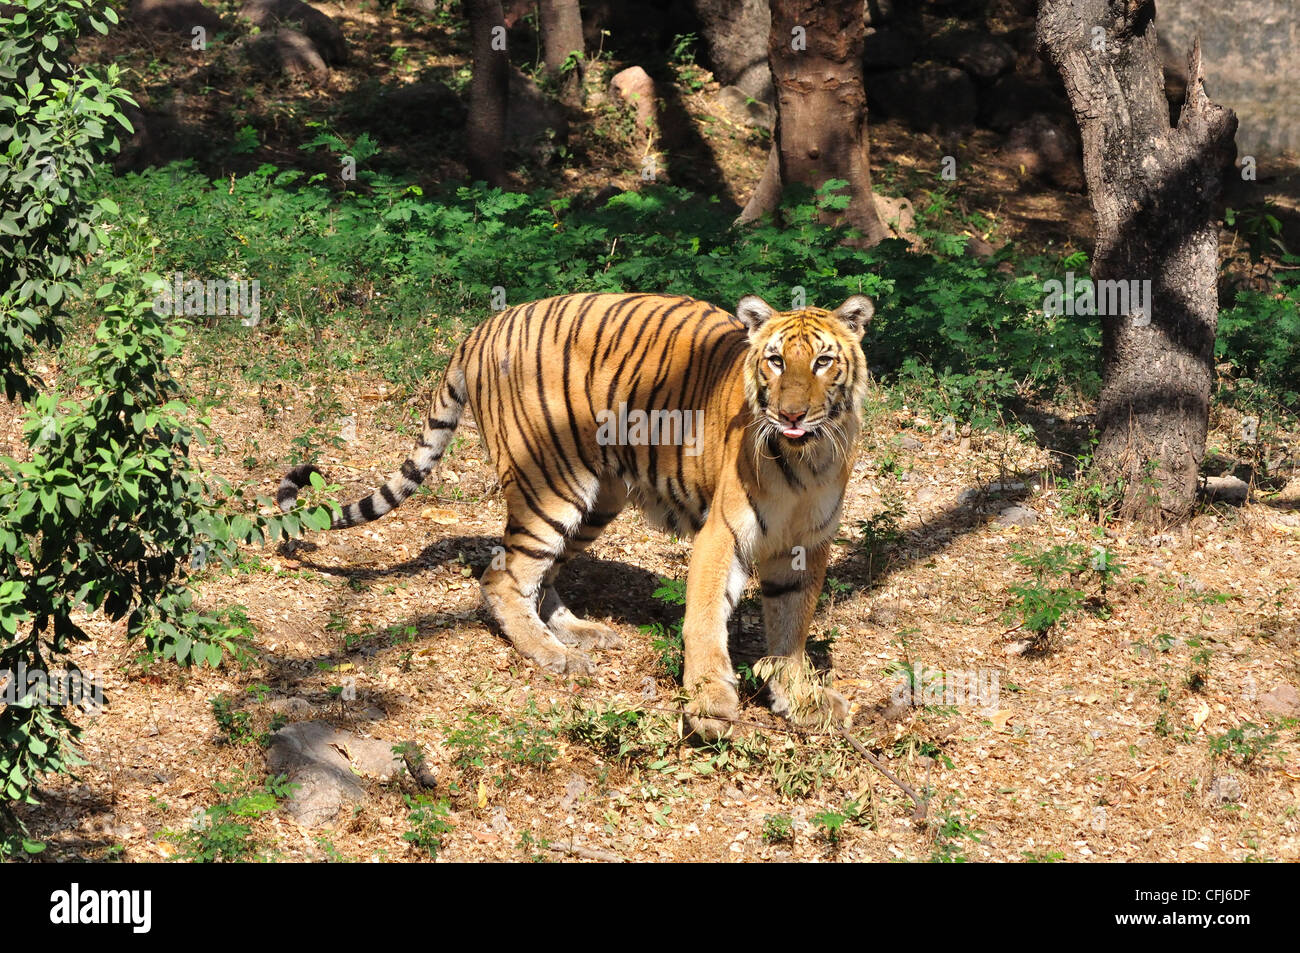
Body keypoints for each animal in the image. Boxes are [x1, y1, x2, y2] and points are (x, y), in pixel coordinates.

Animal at [277, 292, 873, 740]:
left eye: (823, 361)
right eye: (775, 360)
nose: (791, 413)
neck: (806, 458)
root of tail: (482, 327)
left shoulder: (806, 545)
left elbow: (791, 628)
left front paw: (800, 700)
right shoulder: (721, 535)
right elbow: (706, 622)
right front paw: (711, 708)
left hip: (594, 498)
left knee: (541, 576)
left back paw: (579, 633)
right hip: (550, 487)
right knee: (501, 577)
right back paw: (554, 655)